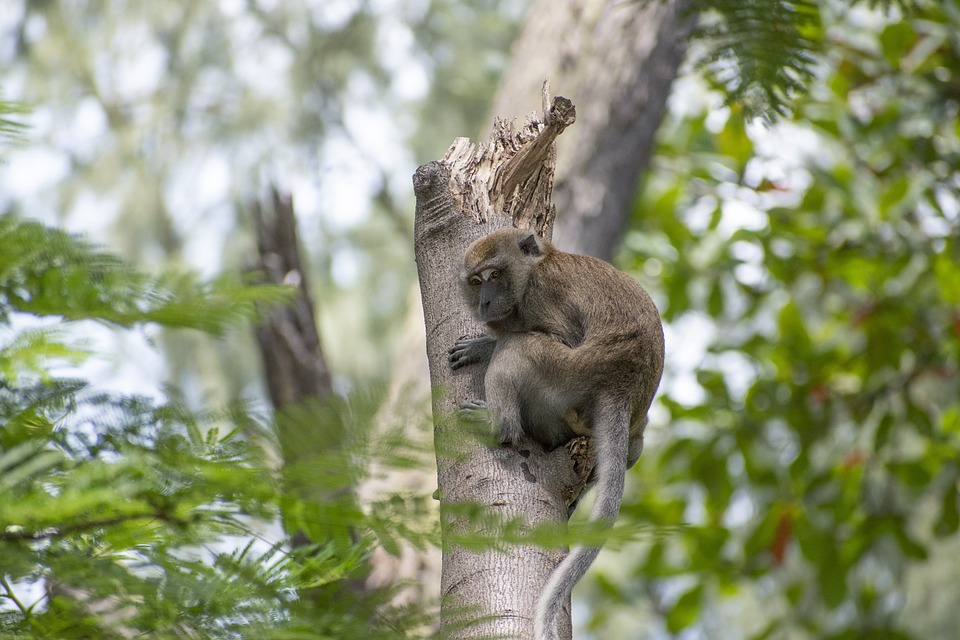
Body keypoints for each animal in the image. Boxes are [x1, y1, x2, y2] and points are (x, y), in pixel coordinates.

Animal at [448, 228, 664, 640]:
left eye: (495, 275)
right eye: (476, 282)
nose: (485, 302)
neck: (536, 267)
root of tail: (621, 385)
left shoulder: (543, 297)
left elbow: (546, 336)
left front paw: (486, 345)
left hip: (567, 376)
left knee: (520, 346)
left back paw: (499, 423)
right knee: (634, 449)